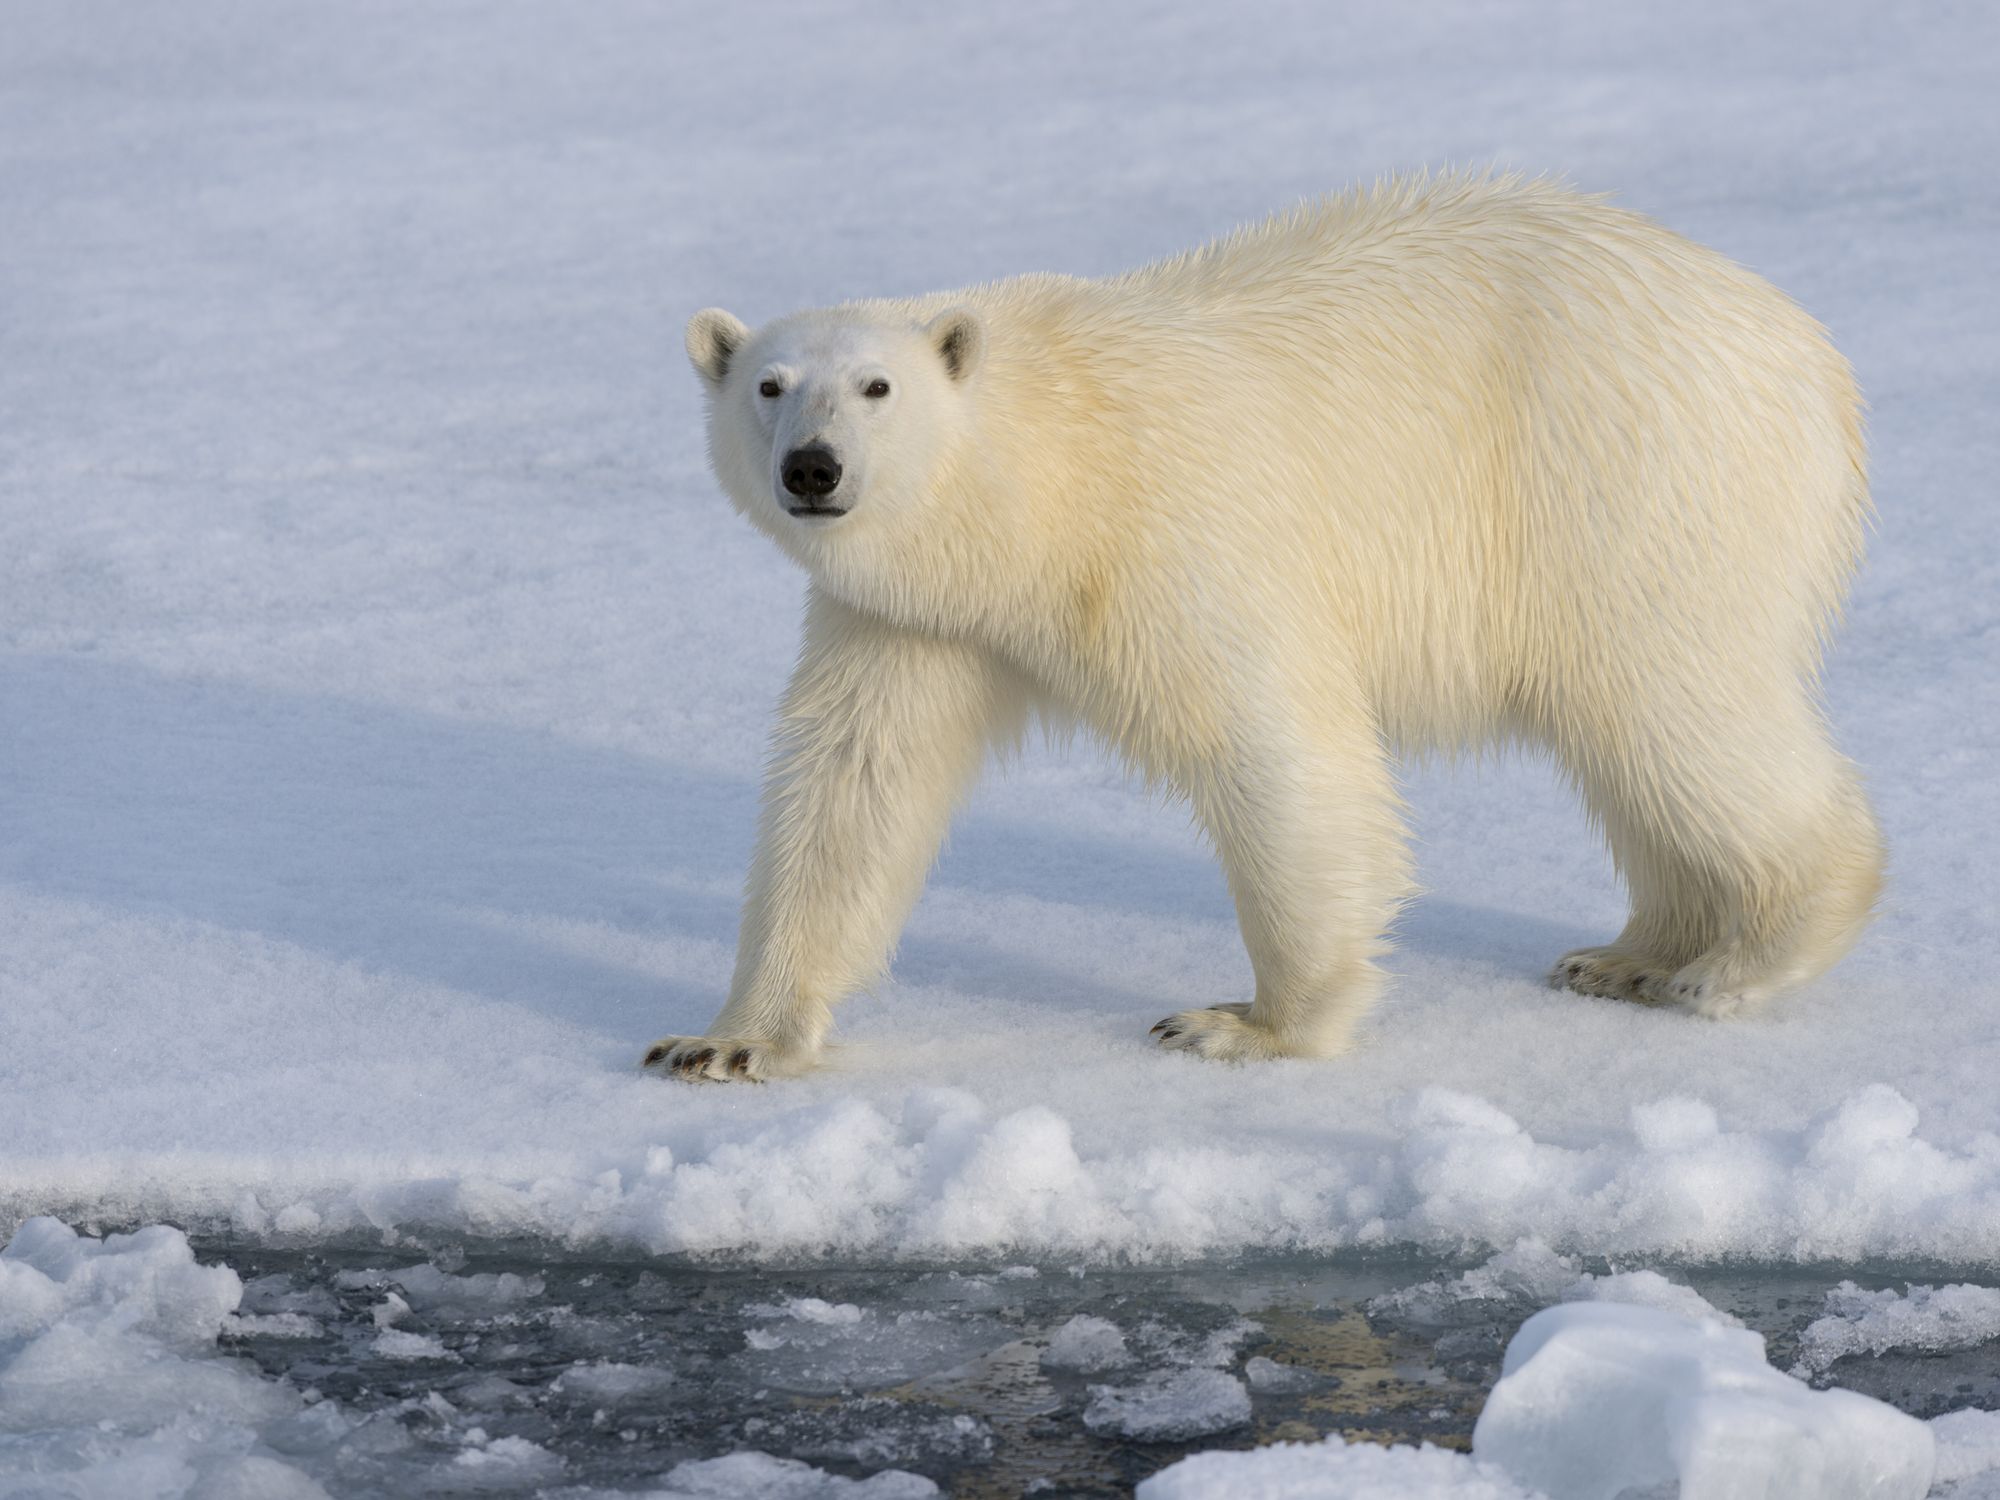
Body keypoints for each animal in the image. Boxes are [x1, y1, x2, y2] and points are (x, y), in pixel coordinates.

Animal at [647, 172, 1883, 1083]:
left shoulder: (1169, 539)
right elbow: (855, 789)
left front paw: (1243, 1024)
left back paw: (1739, 963)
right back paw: (1626, 955)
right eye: (768, 385)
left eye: (877, 386)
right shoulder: (913, 620)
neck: (1041, 485)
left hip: (1627, 484)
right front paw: (725, 1040)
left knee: (1673, 707)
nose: (813, 470)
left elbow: (1277, 752)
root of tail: (1814, 360)